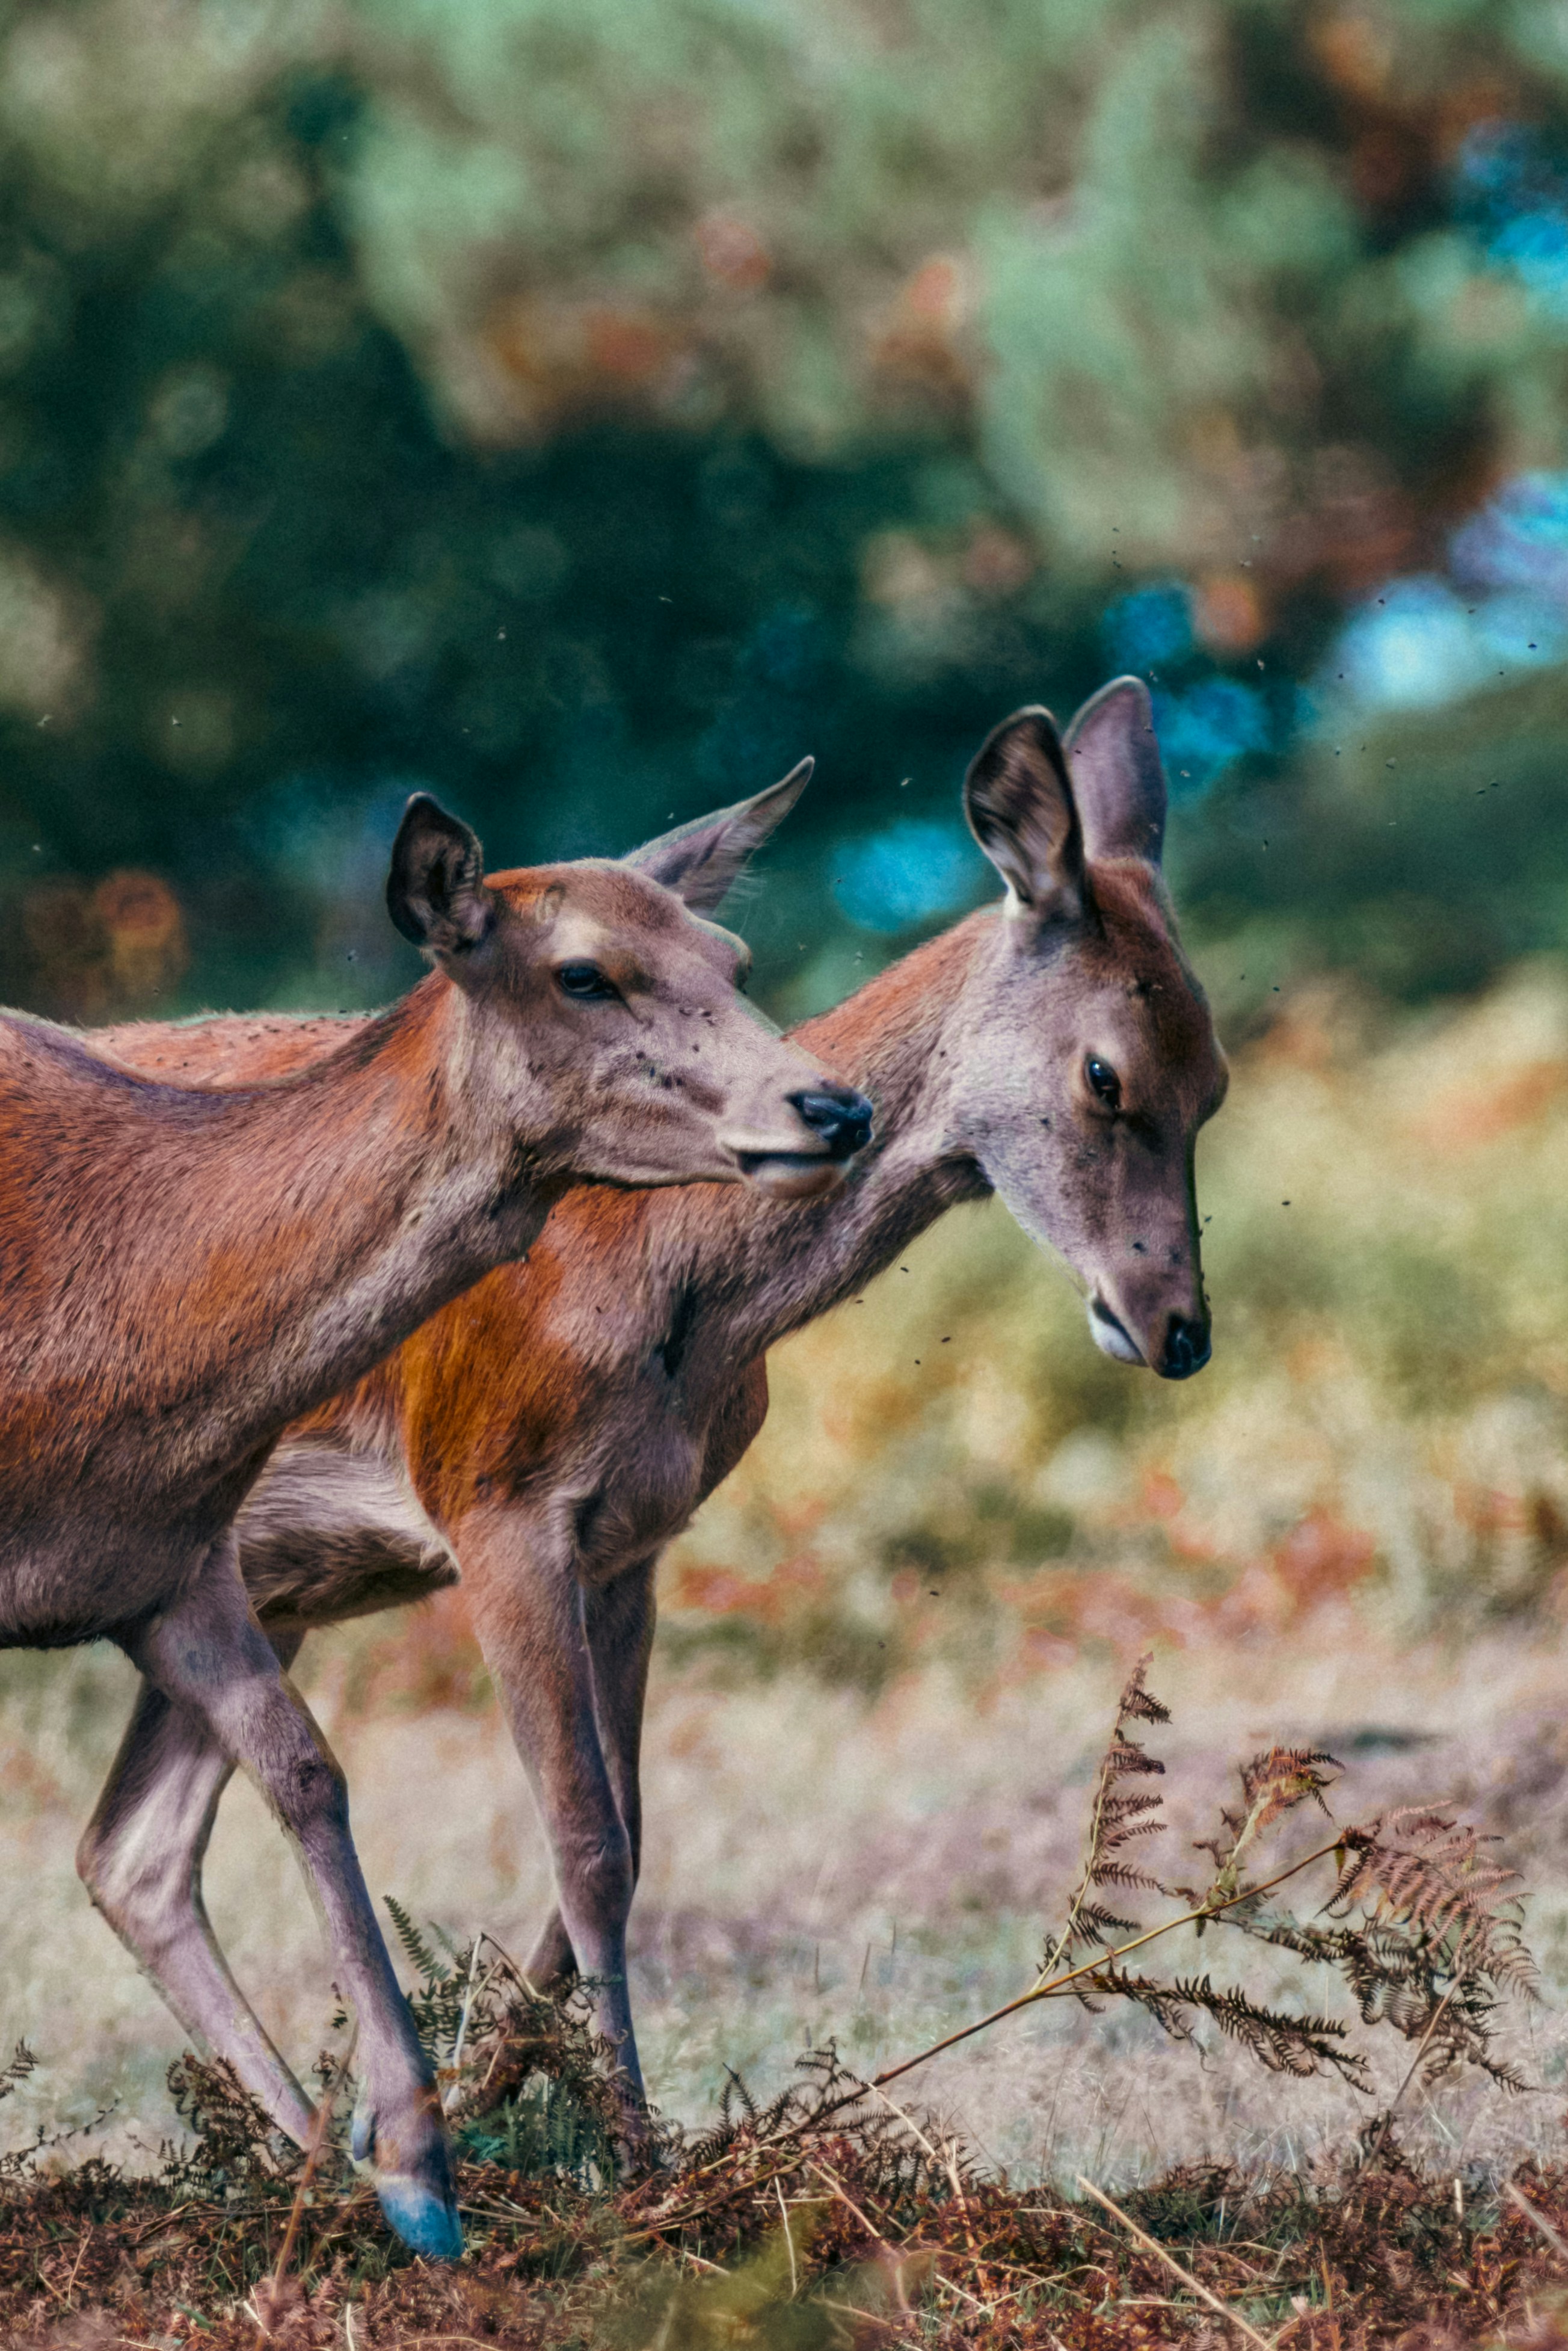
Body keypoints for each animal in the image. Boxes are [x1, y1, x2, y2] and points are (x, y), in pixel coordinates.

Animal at [0, 772, 875, 2261]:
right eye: (582, 971)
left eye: (736, 960)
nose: (831, 1105)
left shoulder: (168, 1559)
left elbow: (307, 1773)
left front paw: (411, 2165)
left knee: (134, 1850)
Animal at [86, 676, 1227, 2169]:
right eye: (1105, 1074)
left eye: (1215, 1080)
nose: (1175, 1326)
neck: (665, 1292)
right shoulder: (493, 1497)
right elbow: (580, 1835)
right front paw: (632, 2151)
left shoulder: (634, 1536)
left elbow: (627, 1833)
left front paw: (504, 2088)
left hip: (243, 1579)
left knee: (132, 1855)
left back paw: (319, 2151)